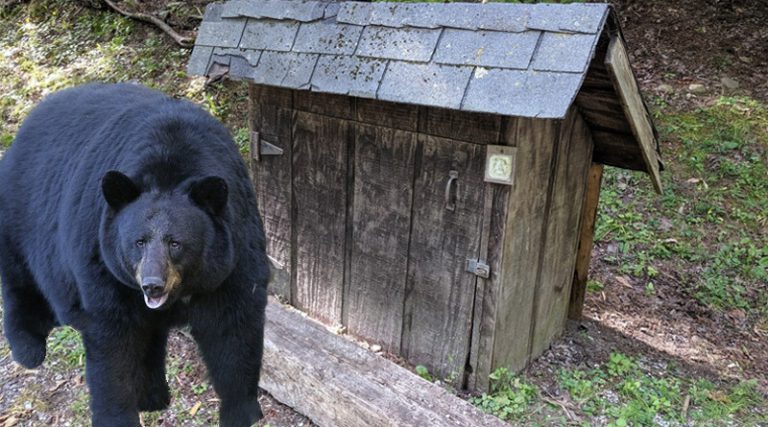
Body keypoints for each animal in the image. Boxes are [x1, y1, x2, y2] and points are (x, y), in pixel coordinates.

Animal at [0, 83, 269, 427]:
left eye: (175, 243)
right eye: (138, 242)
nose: (152, 284)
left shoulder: (233, 253)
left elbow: (234, 329)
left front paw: (242, 411)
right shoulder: (103, 261)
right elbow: (114, 343)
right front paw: (116, 415)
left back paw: (153, 396)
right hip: (21, 215)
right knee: (20, 280)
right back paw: (29, 348)